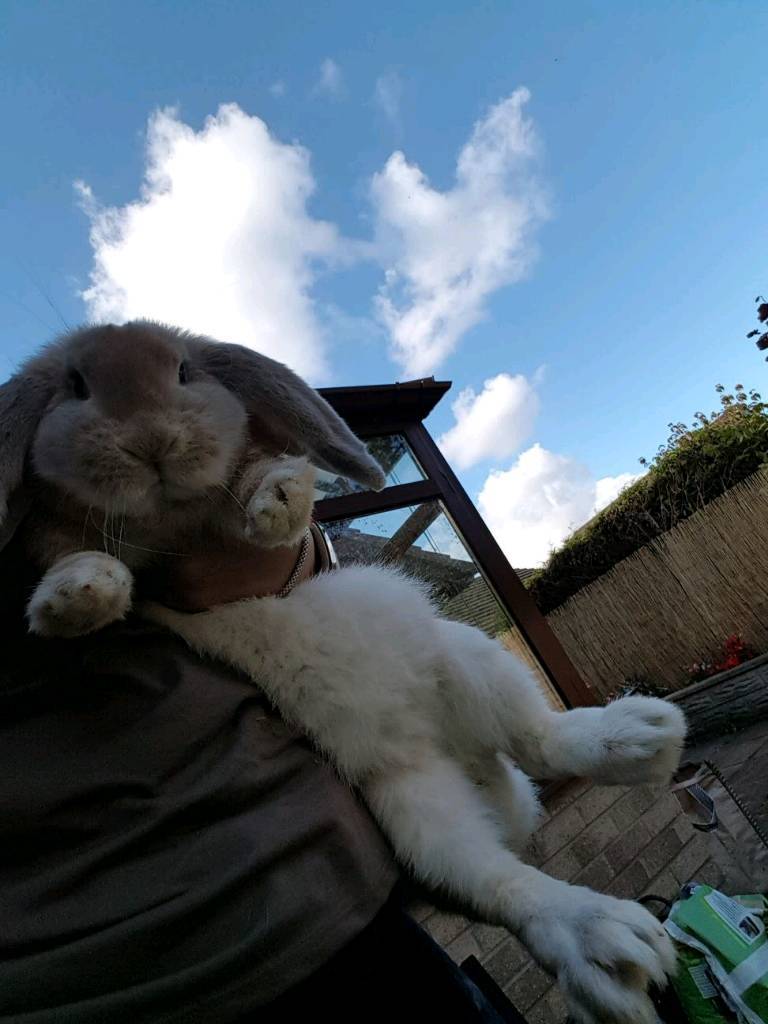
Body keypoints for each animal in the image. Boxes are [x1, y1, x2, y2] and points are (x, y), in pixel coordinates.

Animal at [0, 320, 384, 637]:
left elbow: (256, 477)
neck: (161, 518)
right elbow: (75, 554)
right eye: (77, 385)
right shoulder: (53, 529)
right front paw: (79, 597)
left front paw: (279, 505)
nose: (151, 441)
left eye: (183, 371)